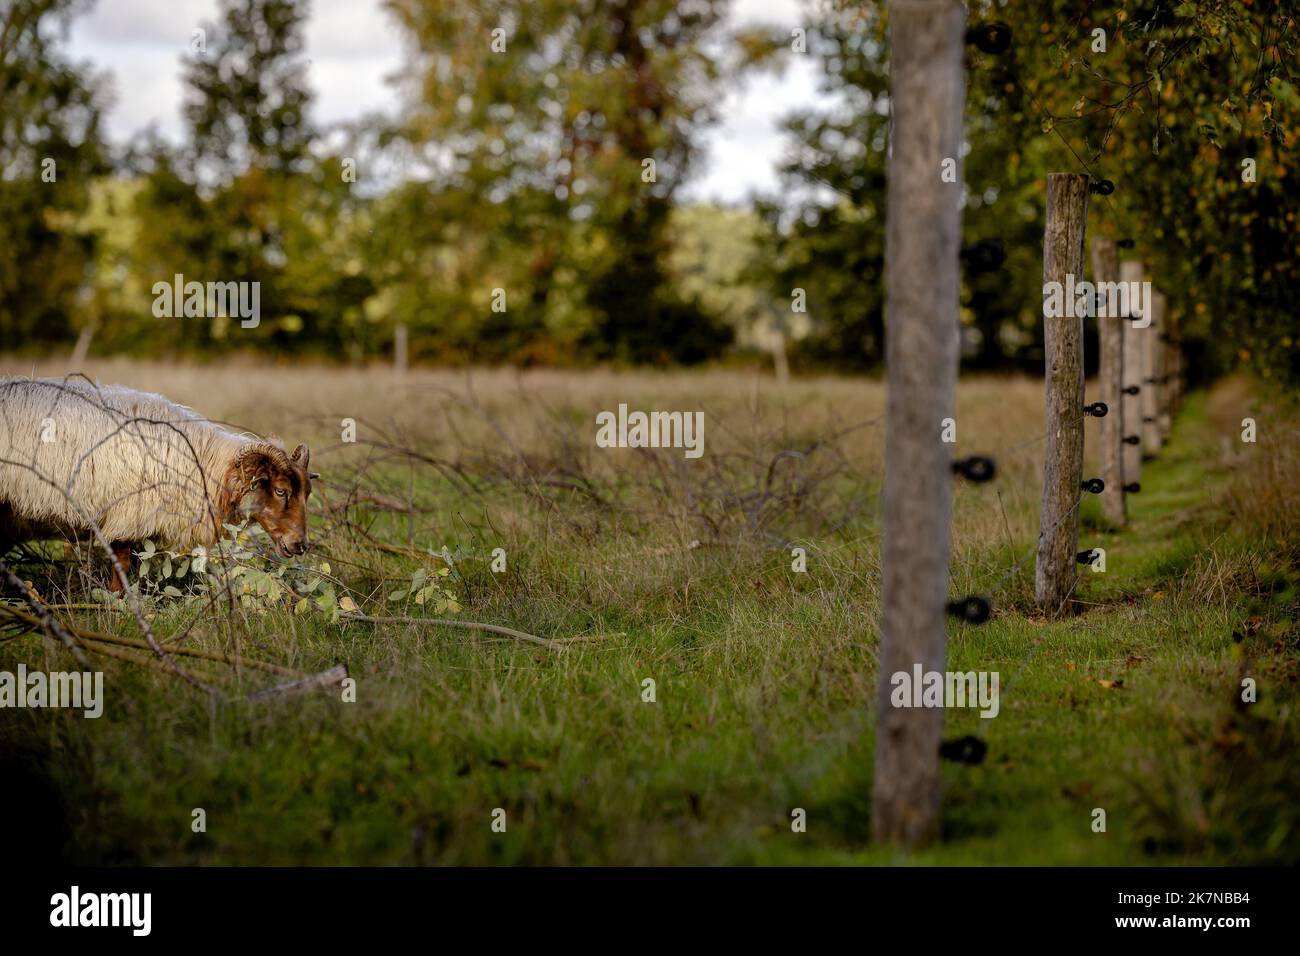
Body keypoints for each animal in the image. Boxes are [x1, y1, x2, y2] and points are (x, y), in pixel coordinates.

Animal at [0, 376, 316, 590]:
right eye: (280, 491)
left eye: (307, 494)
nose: (300, 545)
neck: (201, 462)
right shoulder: (127, 518)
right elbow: (122, 572)